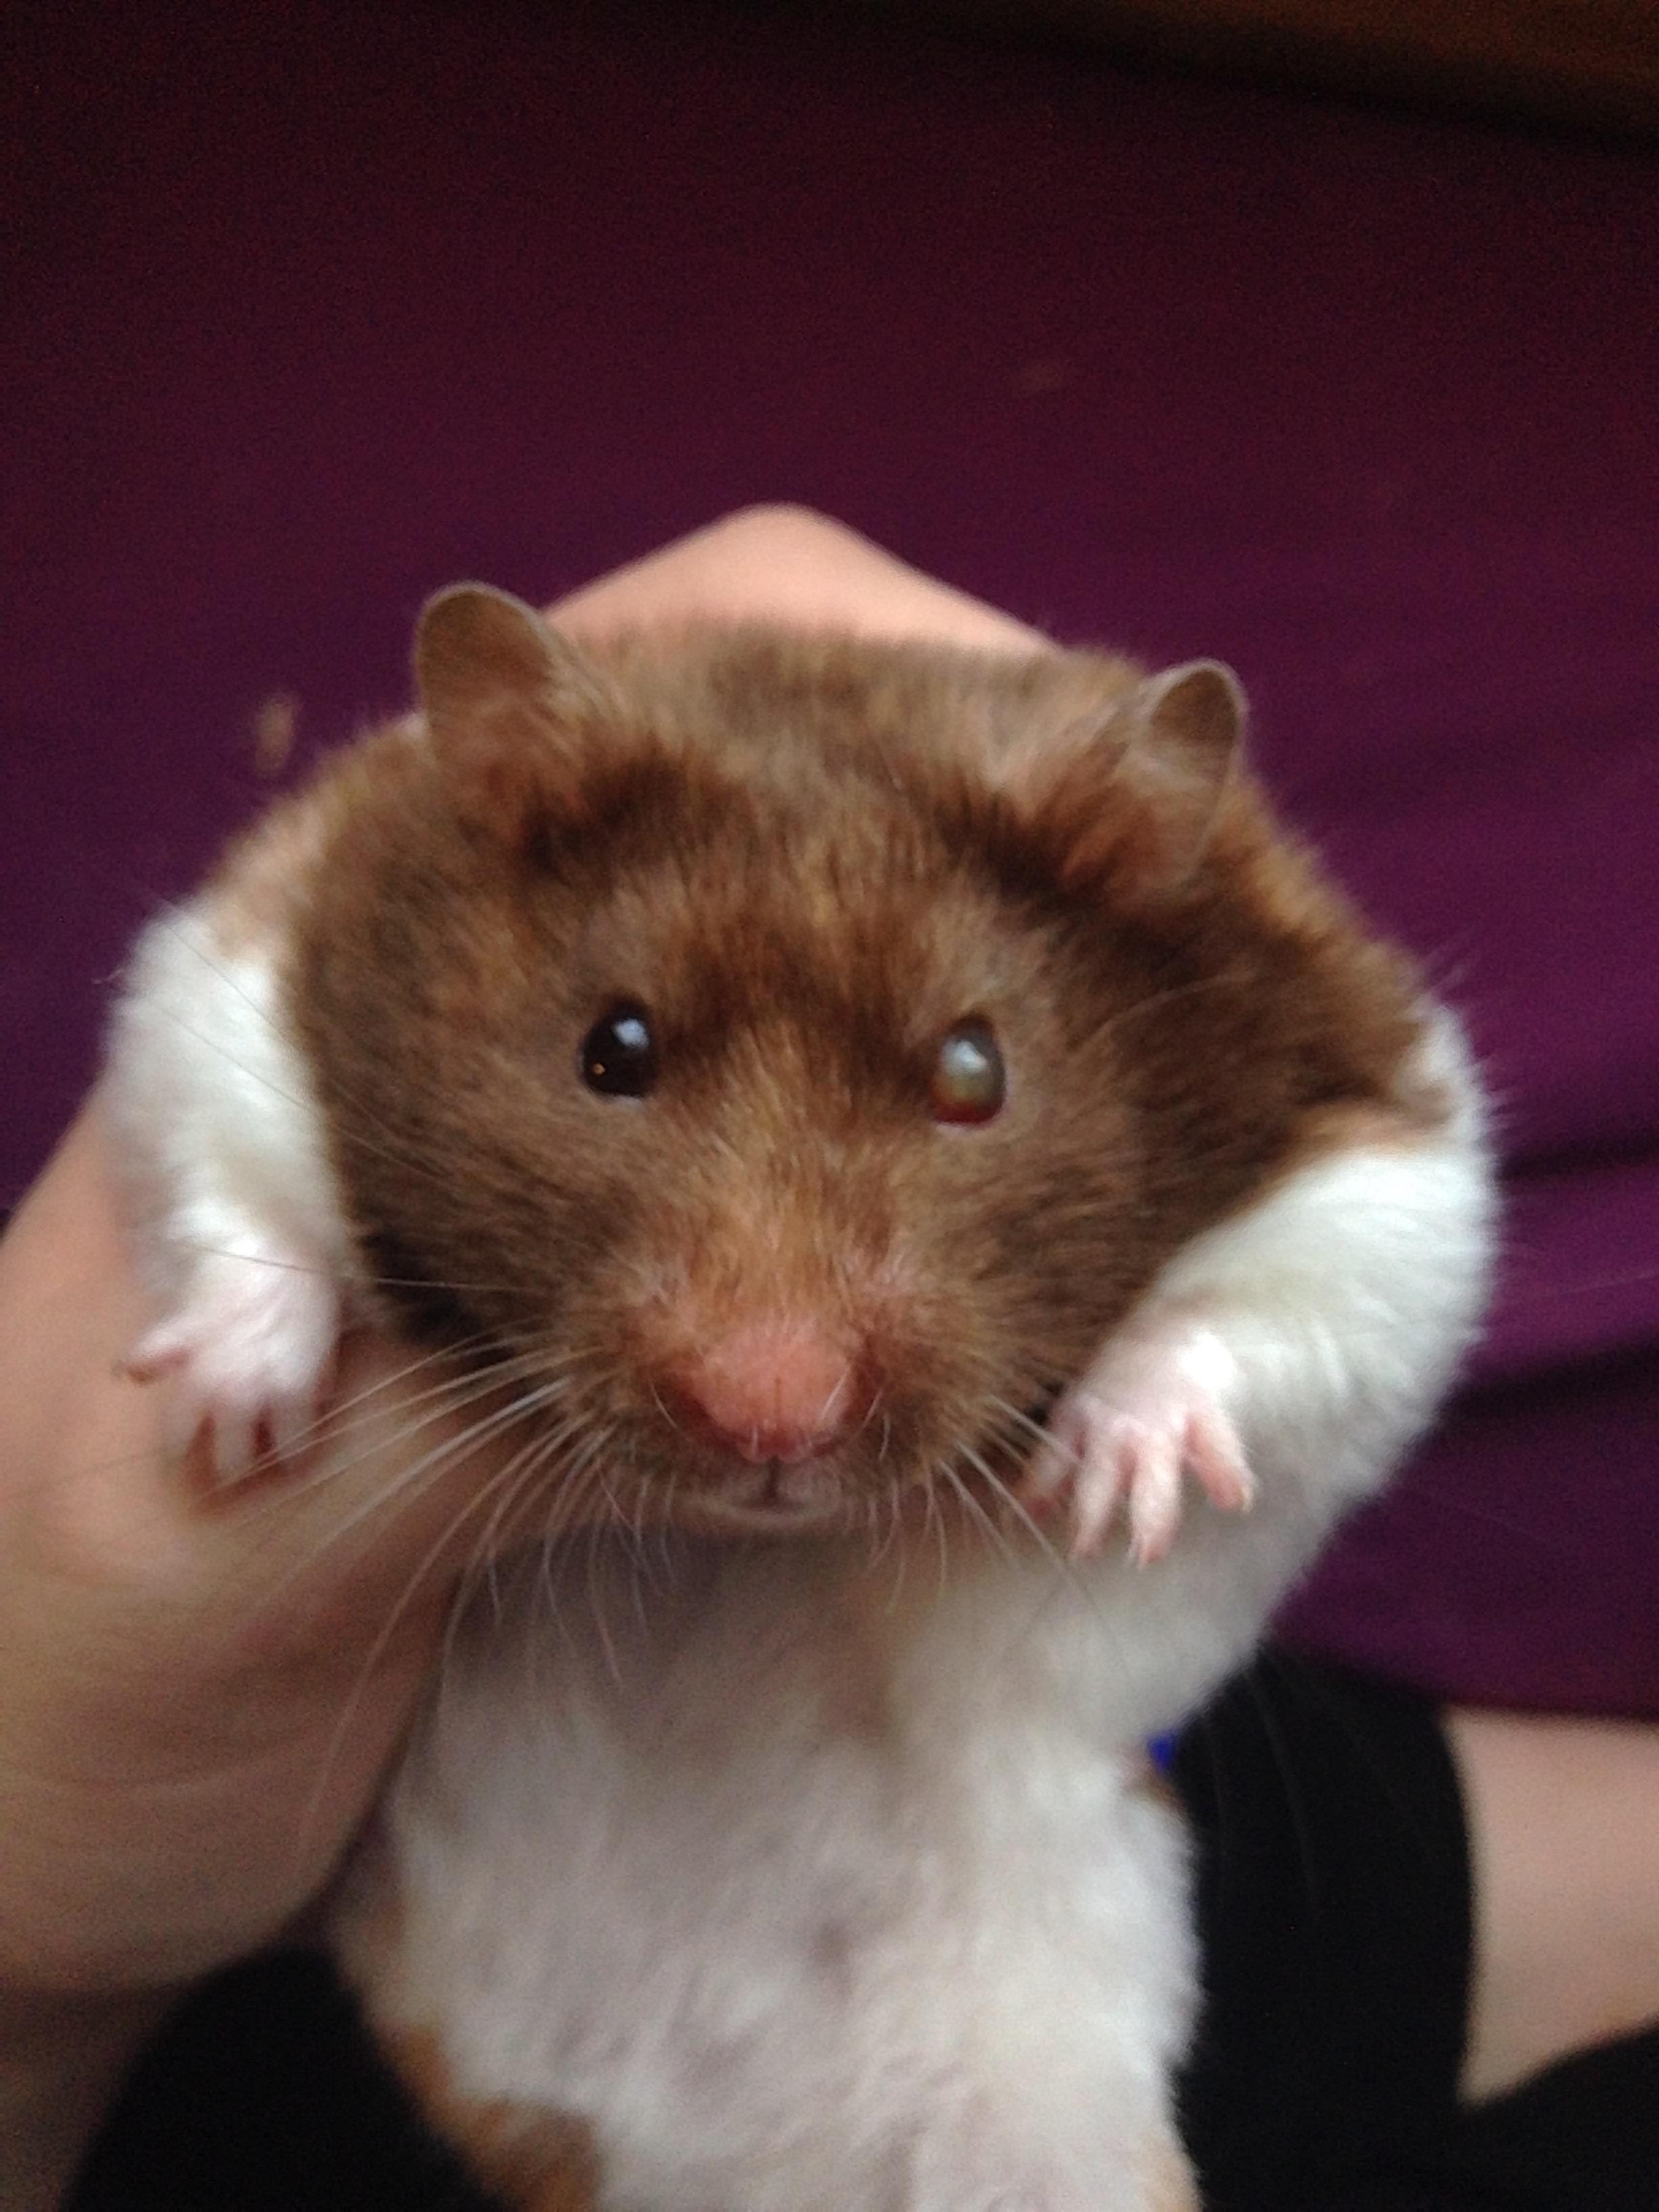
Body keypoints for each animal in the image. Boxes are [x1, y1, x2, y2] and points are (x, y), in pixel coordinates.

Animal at [105, 585, 1495, 2211]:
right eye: (613, 1049)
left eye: (975, 1069)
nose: (770, 1417)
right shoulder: (238, 975)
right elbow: (236, 1191)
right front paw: (223, 1426)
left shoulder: (1396, 1161)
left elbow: (1264, 1304)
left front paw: (1111, 1480)